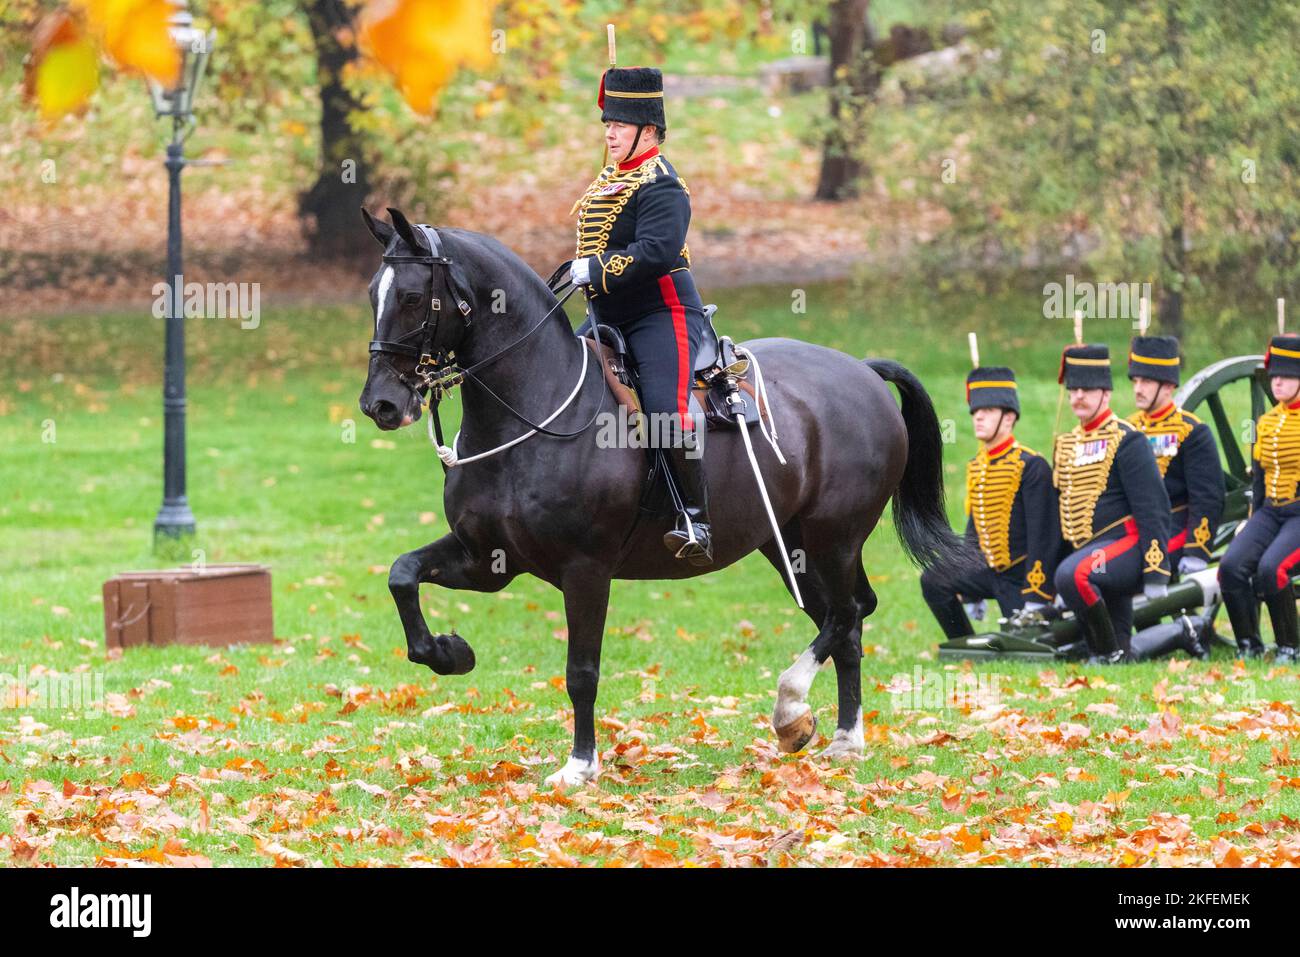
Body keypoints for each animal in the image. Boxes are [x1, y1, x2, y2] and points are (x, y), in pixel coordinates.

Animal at [357, 206, 970, 786]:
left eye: (412, 297)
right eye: (372, 294)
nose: (380, 404)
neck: (537, 406)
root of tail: (861, 371)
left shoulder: (585, 569)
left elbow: (582, 671)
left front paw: (580, 766)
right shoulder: (488, 561)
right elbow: (402, 575)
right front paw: (448, 653)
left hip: (834, 538)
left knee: (850, 610)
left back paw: (794, 708)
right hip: (787, 547)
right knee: (843, 622)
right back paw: (837, 736)